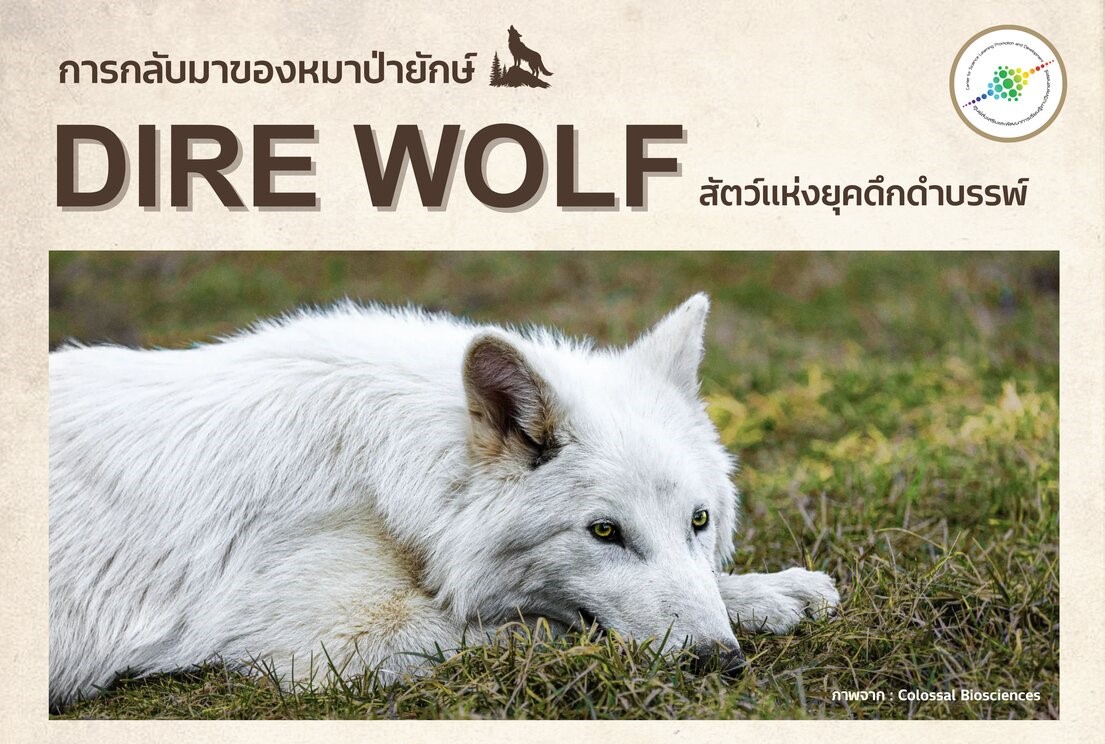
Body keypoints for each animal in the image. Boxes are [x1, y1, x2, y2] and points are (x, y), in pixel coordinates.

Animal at [49, 294, 839, 709]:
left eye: (699, 522)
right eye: (604, 532)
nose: (720, 663)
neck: (381, 473)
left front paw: (774, 593)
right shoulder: (326, 647)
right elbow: (546, 625)